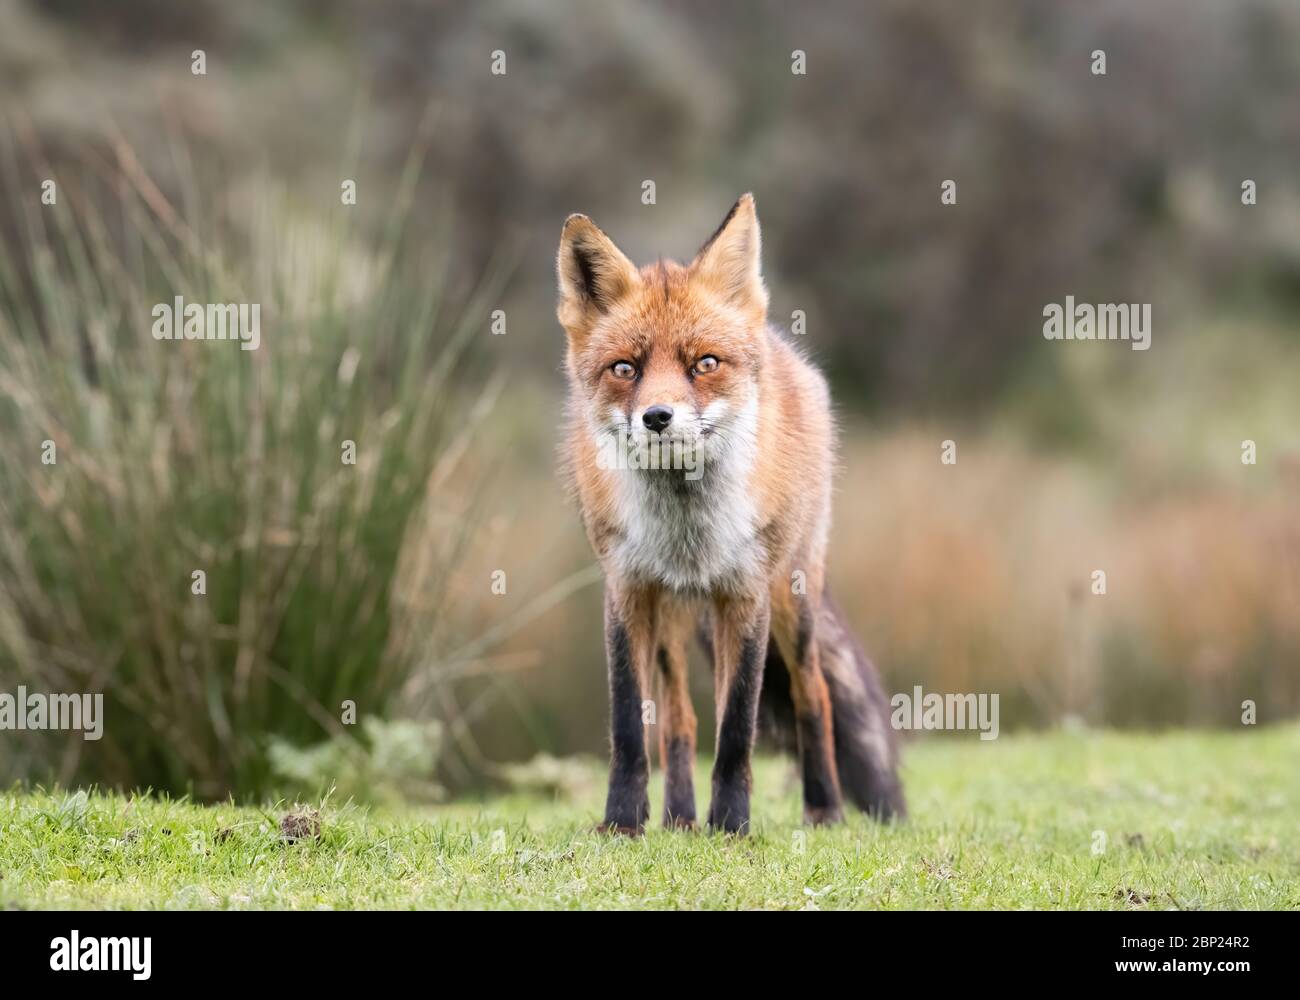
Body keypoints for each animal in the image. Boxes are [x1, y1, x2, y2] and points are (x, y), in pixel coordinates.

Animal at [557, 194, 905, 834]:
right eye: (625, 369)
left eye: (704, 363)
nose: (657, 417)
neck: (687, 530)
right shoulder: (627, 590)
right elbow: (629, 724)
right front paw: (622, 823)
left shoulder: (745, 593)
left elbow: (738, 724)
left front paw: (733, 826)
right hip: (673, 619)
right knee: (680, 721)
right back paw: (678, 819)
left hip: (793, 597)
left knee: (813, 695)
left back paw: (824, 810)